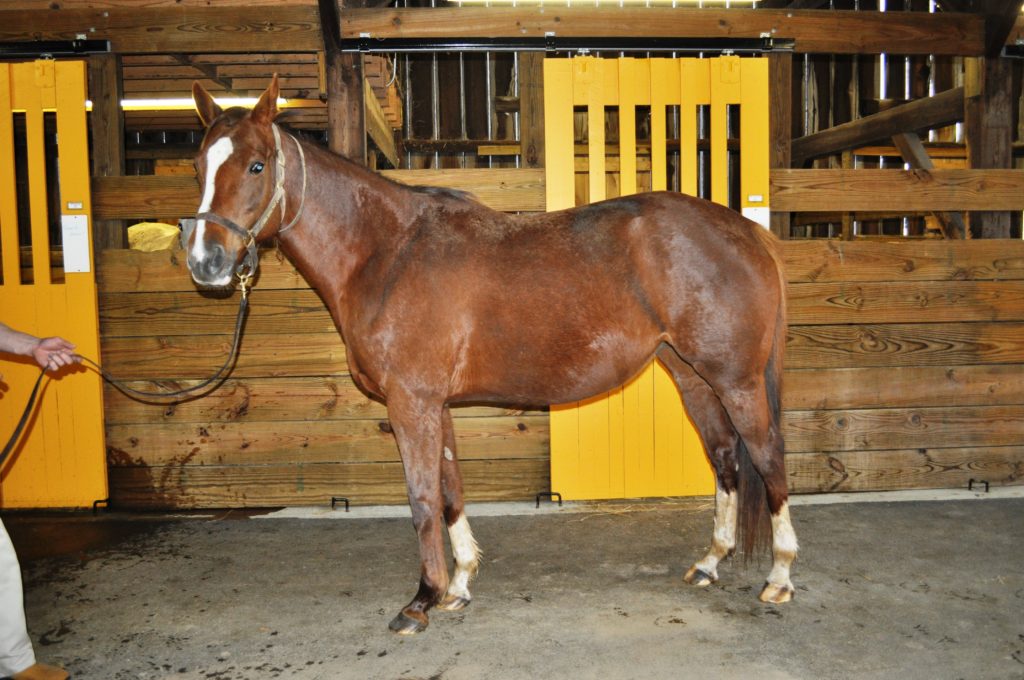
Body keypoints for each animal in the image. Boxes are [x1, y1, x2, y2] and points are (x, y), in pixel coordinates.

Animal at [186, 76, 798, 635]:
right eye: (197, 166)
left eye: (257, 165)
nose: (205, 262)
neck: (386, 253)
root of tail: (748, 231)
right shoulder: (435, 406)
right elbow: (452, 490)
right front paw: (458, 586)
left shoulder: (411, 404)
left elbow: (422, 497)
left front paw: (422, 599)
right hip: (693, 377)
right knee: (724, 457)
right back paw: (710, 563)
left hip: (737, 380)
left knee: (767, 457)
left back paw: (780, 577)